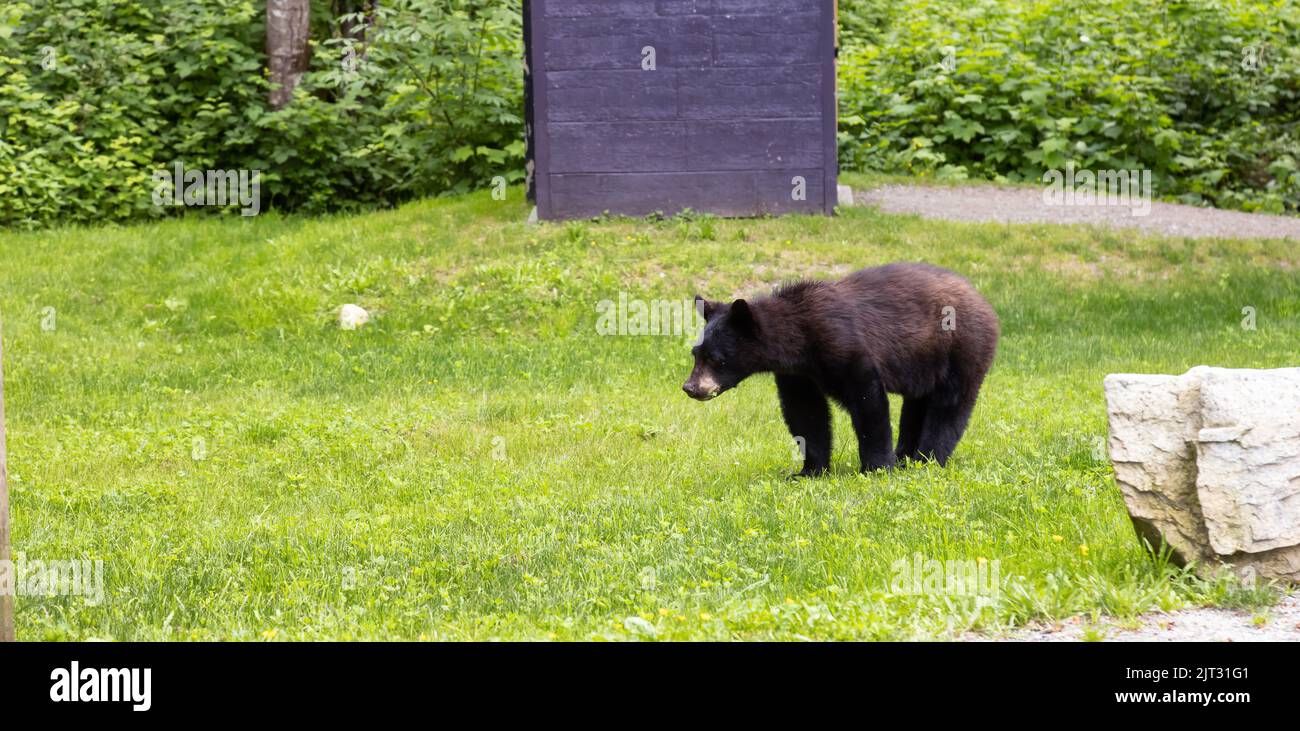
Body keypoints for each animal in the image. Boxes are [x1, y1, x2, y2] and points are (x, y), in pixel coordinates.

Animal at [682, 263, 999, 475]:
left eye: (716, 358)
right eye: (696, 354)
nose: (690, 387)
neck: (799, 337)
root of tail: (986, 303)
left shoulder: (844, 346)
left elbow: (868, 401)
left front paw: (876, 467)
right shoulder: (797, 374)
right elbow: (807, 414)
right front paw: (808, 471)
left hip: (962, 348)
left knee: (950, 405)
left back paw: (927, 459)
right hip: (925, 362)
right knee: (917, 405)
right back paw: (905, 456)